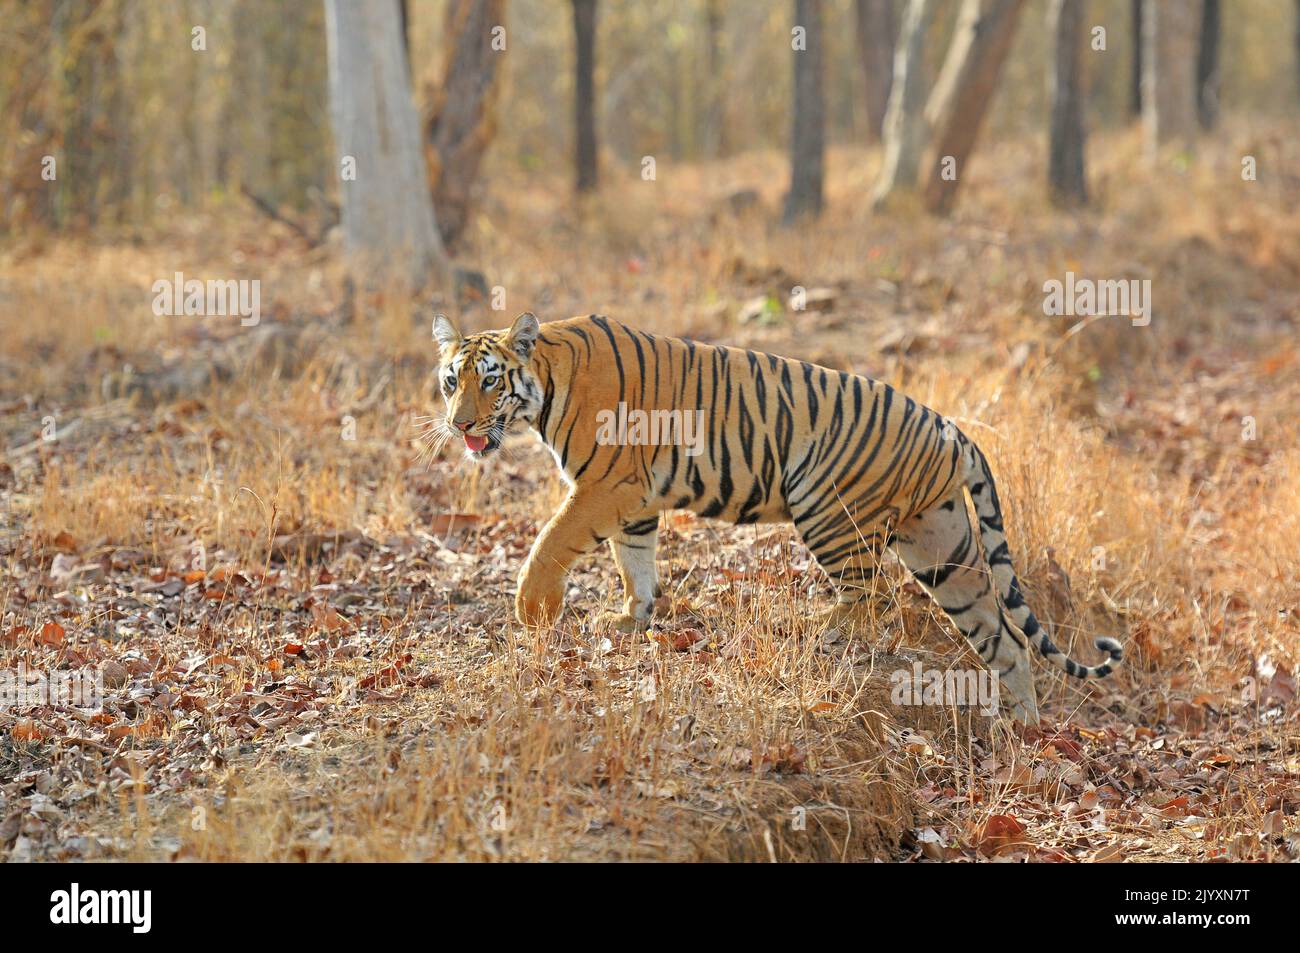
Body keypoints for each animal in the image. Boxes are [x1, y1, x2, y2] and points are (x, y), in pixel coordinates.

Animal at [431, 311, 1122, 722]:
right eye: (450, 382)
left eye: (489, 382)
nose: (459, 425)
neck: (544, 385)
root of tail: (950, 428)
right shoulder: (635, 499)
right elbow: (635, 563)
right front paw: (632, 619)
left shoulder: (606, 483)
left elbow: (552, 541)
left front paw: (534, 611)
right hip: (942, 546)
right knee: (1003, 635)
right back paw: (1020, 725)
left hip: (827, 505)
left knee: (870, 597)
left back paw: (818, 630)